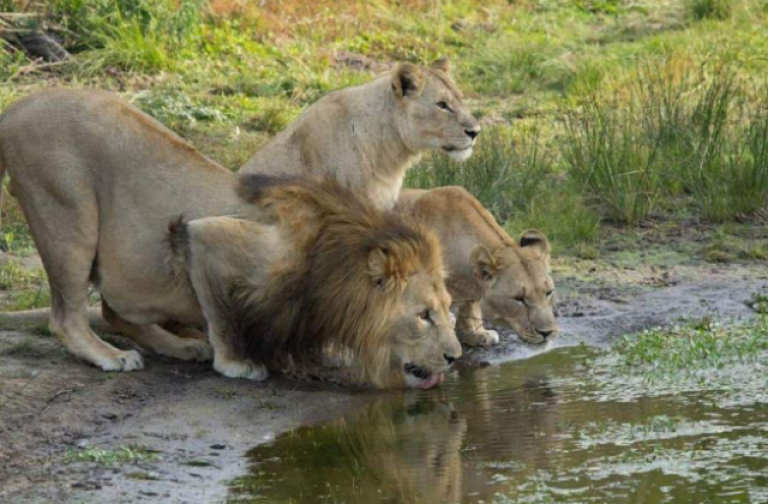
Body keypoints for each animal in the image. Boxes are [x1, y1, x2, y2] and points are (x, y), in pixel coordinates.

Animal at [0, 89, 460, 389]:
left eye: (447, 310)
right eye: (423, 315)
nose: (455, 357)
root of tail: (16, 106)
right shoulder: (209, 238)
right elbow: (222, 313)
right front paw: (236, 363)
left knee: (114, 312)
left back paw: (180, 347)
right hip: (67, 213)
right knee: (67, 316)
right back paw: (110, 355)